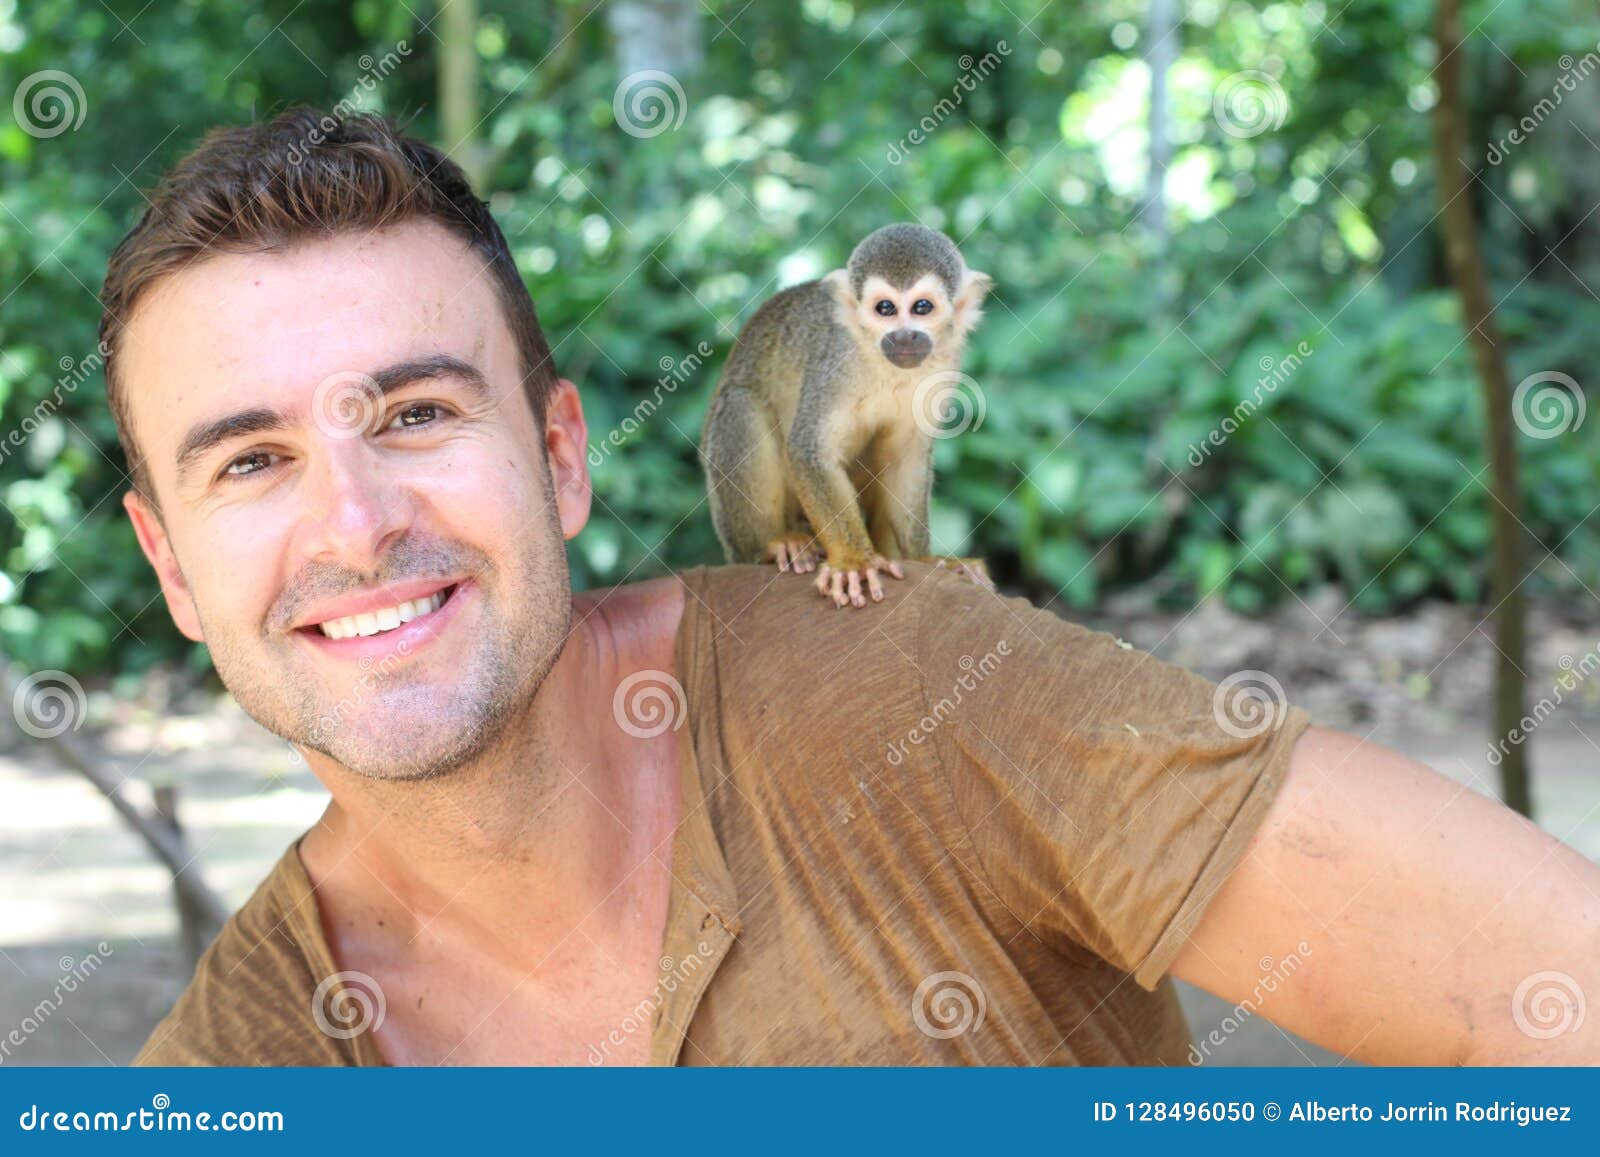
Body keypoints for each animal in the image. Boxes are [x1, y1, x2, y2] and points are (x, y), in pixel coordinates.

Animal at [699, 222, 993, 608]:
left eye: (922, 307)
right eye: (885, 308)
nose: (904, 337)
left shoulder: (945, 364)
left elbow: (906, 459)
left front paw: (928, 560)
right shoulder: (833, 363)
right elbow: (810, 450)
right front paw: (853, 561)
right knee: (740, 405)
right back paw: (773, 547)